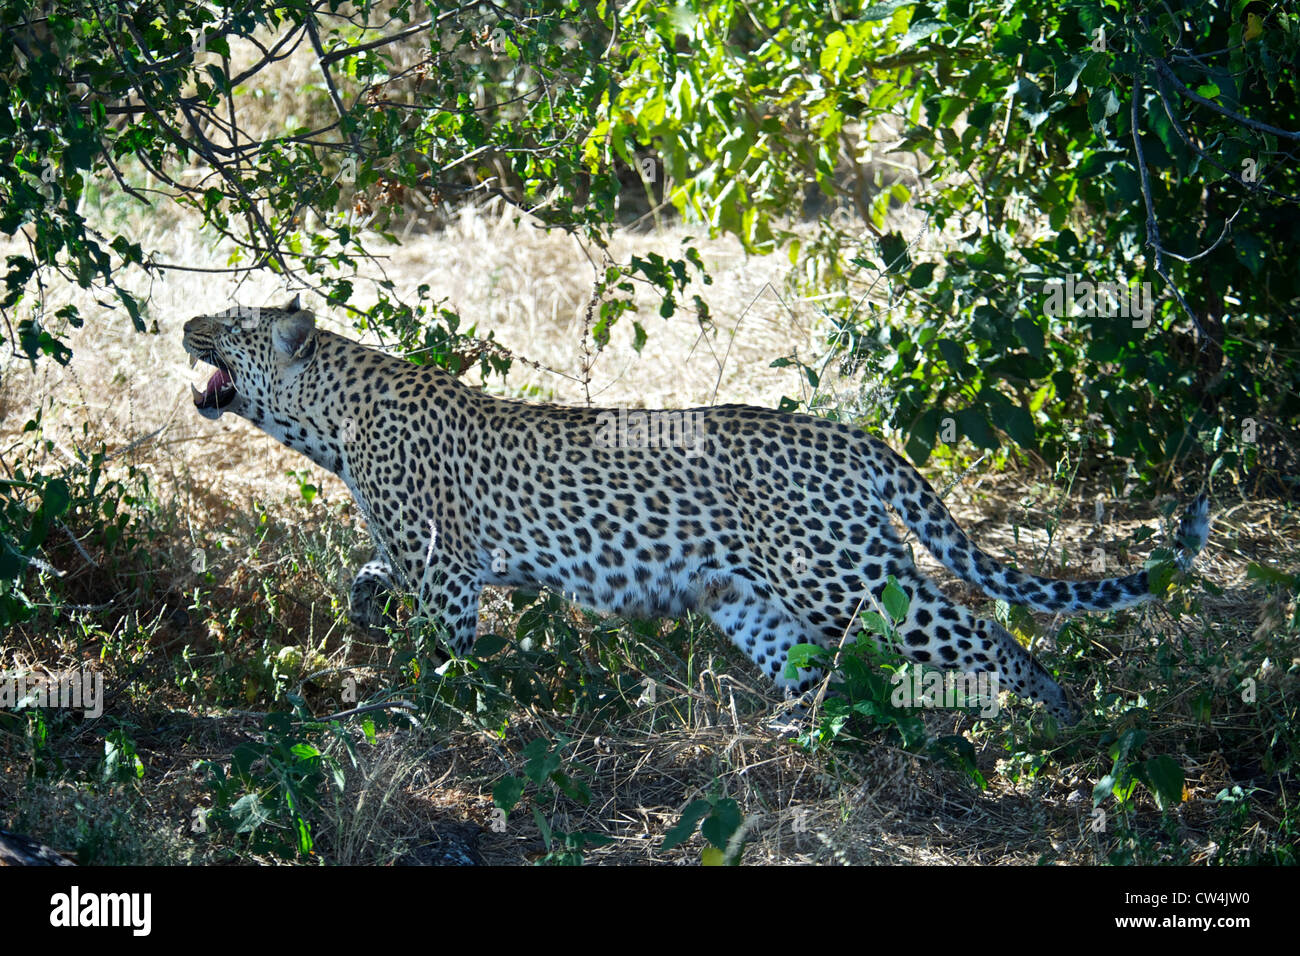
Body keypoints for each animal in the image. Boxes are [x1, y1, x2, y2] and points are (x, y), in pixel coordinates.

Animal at [183, 297, 1211, 725]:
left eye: (228, 322)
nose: (182, 323)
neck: (330, 414)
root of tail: (861, 441)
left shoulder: (445, 568)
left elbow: (446, 650)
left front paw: (431, 701)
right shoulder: (433, 557)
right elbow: (369, 572)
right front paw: (367, 614)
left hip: (846, 576)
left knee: (983, 629)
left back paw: (1049, 720)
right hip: (750, 598)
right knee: (819, 670)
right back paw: (804, 734)